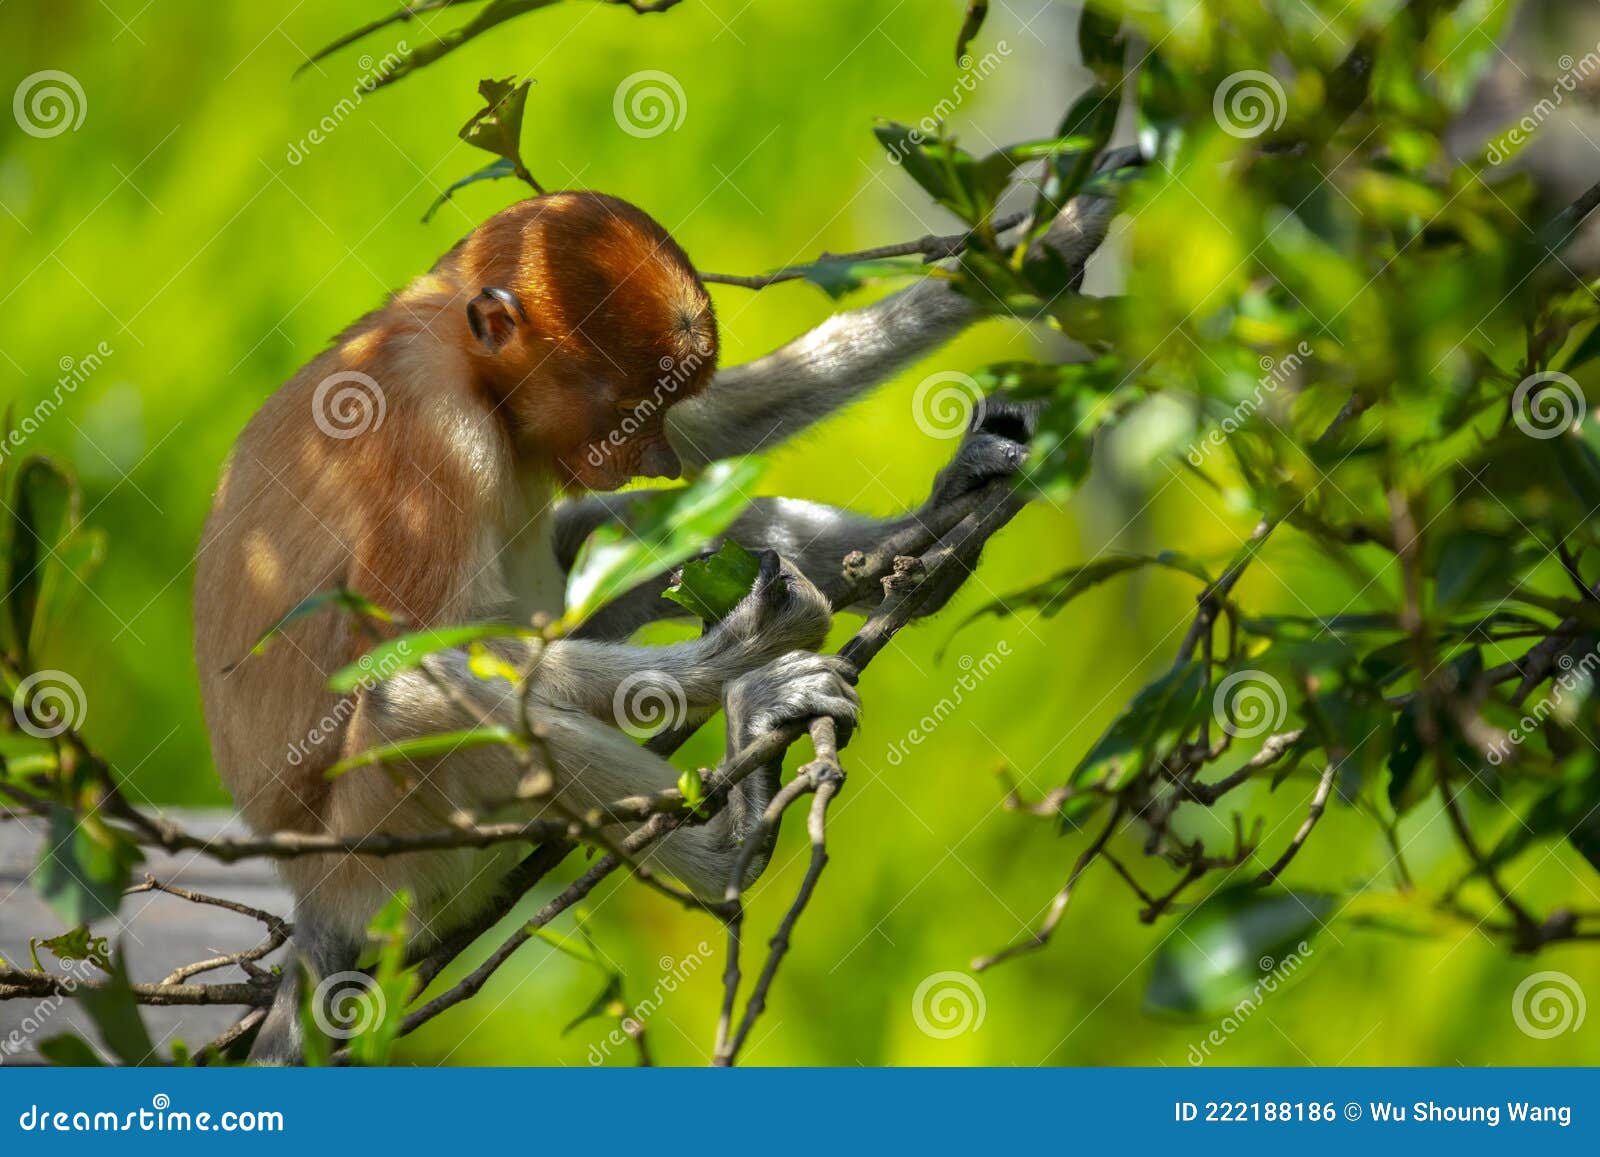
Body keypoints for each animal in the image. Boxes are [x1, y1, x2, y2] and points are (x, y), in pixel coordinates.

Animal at [193, 184, 1118, 1063]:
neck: (461, 358)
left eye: (659, 399)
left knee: (607, 528)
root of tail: (311, 898)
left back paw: (918, 545)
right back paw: (731, 834)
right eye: (622, 401)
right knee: (414, 704)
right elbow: (399, 657)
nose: (656, 459)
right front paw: (748, 655)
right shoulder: (424, 436)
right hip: (377, 853)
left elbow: (716, 430)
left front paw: (1046, 243)